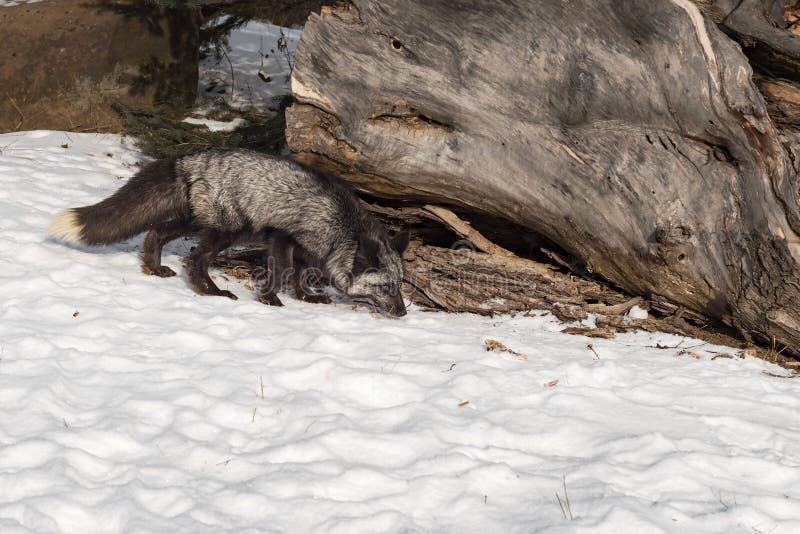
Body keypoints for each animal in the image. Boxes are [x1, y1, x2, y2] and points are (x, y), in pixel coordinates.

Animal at [47, 150, 409, 316]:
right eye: (385, 287)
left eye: (399, 286)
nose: (404, 312)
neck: (339, 223)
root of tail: (190, 158)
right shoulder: (282, 238)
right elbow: (282, 271)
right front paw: (270, 300)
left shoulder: (310, 251)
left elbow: (299, 276)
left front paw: (306, 297)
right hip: (228, 232)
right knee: (195, 259)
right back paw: (212, 292)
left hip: (196, 223)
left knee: (156, 232)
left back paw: (155, 267)